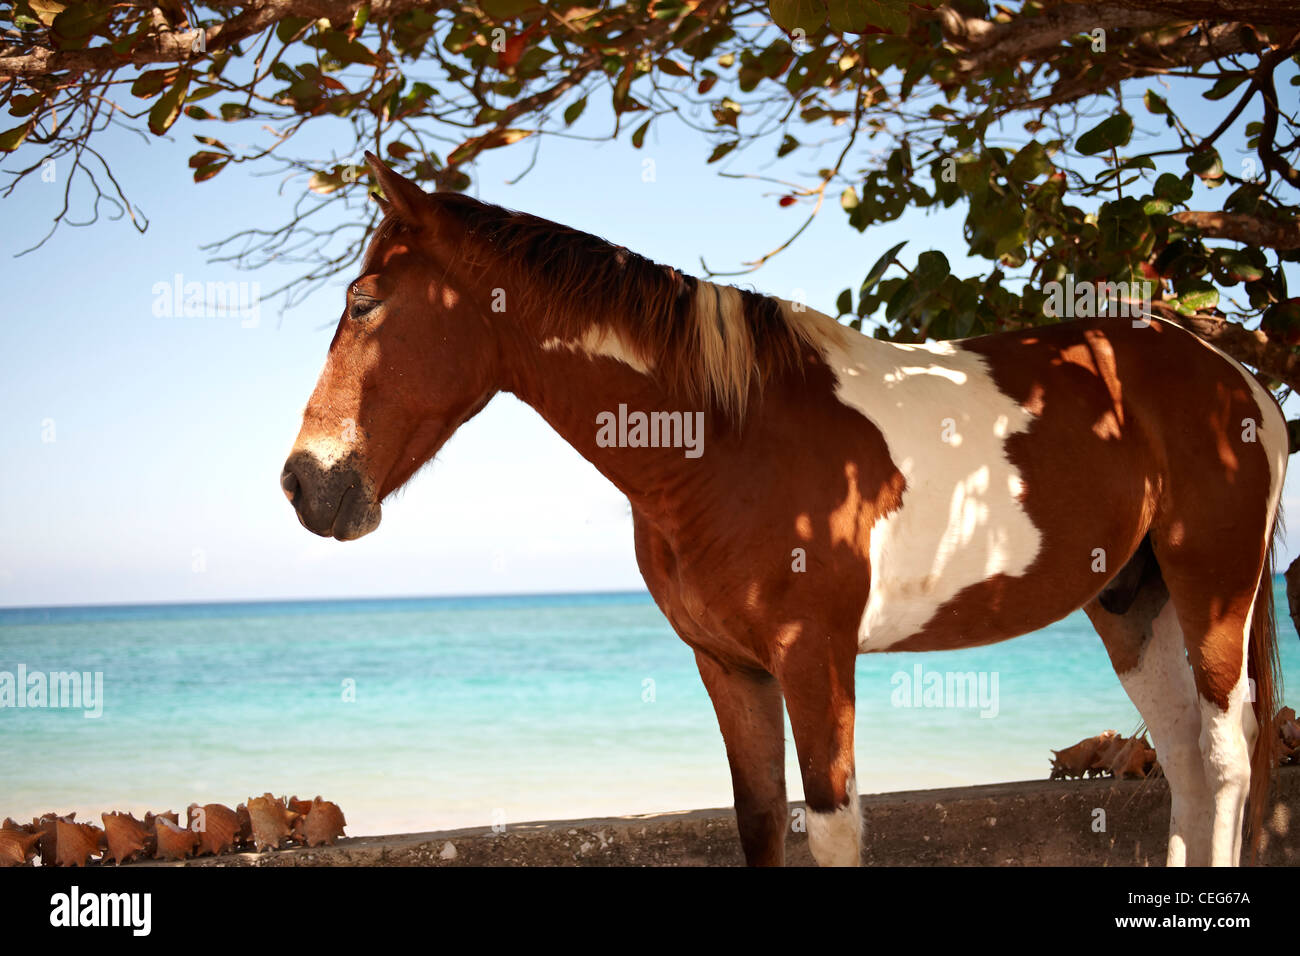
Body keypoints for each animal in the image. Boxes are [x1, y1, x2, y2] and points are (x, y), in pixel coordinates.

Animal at [281, 152, 1286, 867]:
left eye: (365, 302)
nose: (304, 484)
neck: (726, 439)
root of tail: (1233, 376)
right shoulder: (729, 668)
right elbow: (761, 821)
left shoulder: (815, 660)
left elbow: (832, 824)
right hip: (1132, 603)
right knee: (1184, 763)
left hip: (1213, 591)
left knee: (1225, 756)